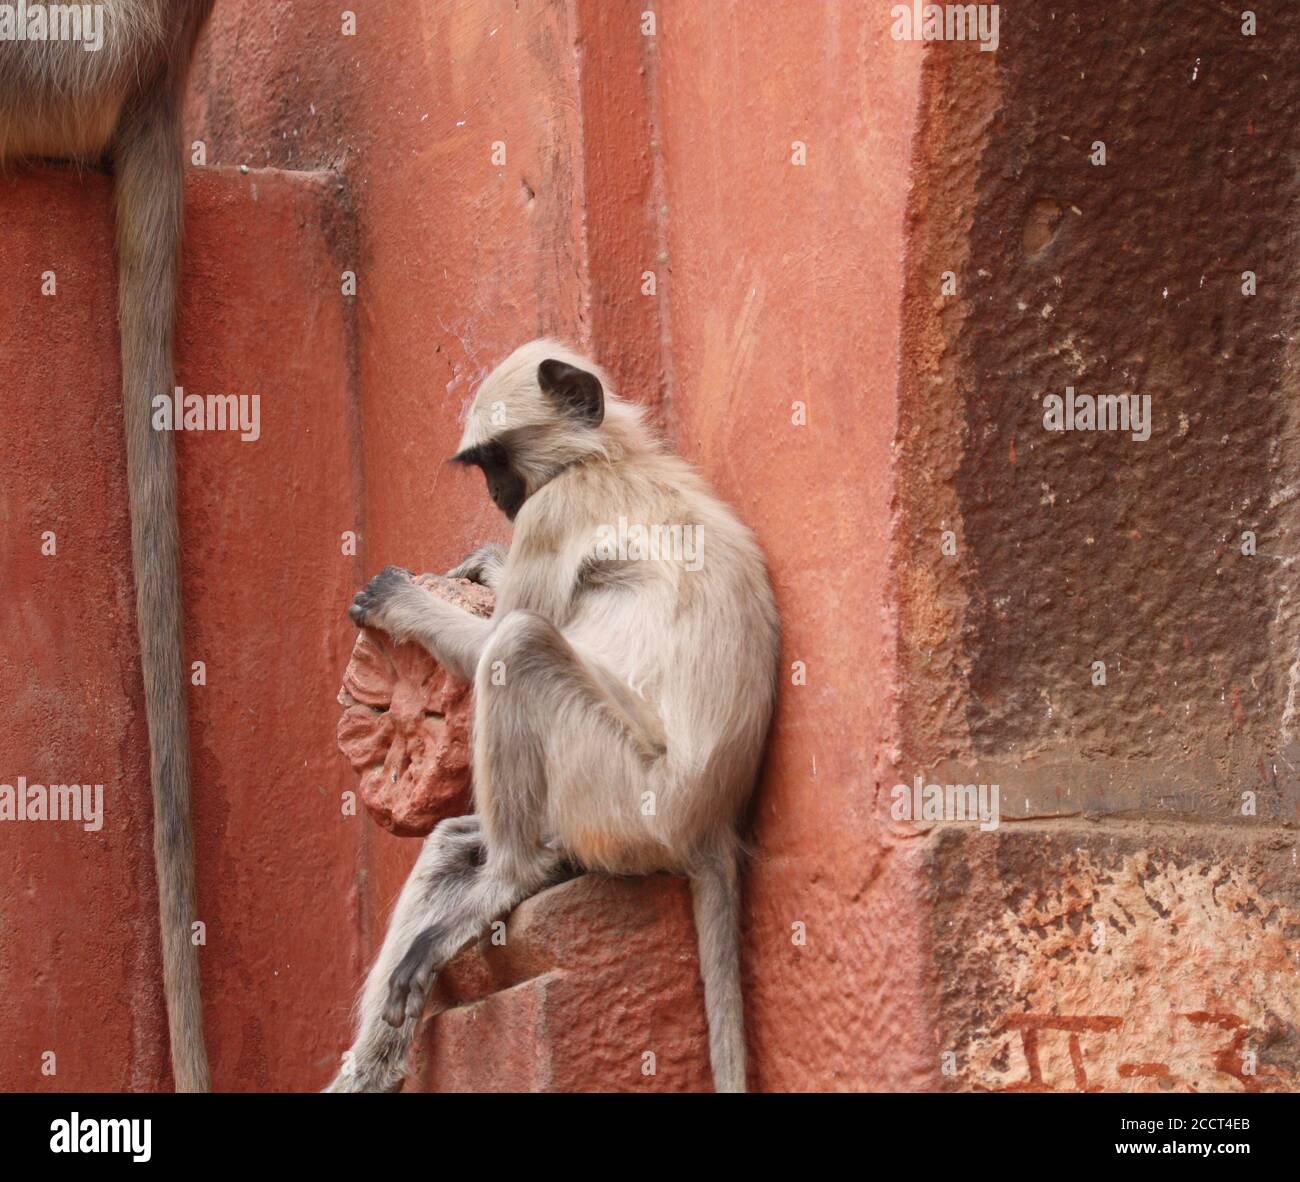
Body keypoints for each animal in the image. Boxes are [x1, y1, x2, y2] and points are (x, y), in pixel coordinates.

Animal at [327, 339, 780, 1093]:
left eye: (496, 459)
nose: (494, 496)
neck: (609, 455)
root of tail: (709, 820)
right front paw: (485, 563)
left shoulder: (551, 511)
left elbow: (491, 642)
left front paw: (398, 601)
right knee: (450, 841)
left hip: (624, 798)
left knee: (518, 646)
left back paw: (510, 878)